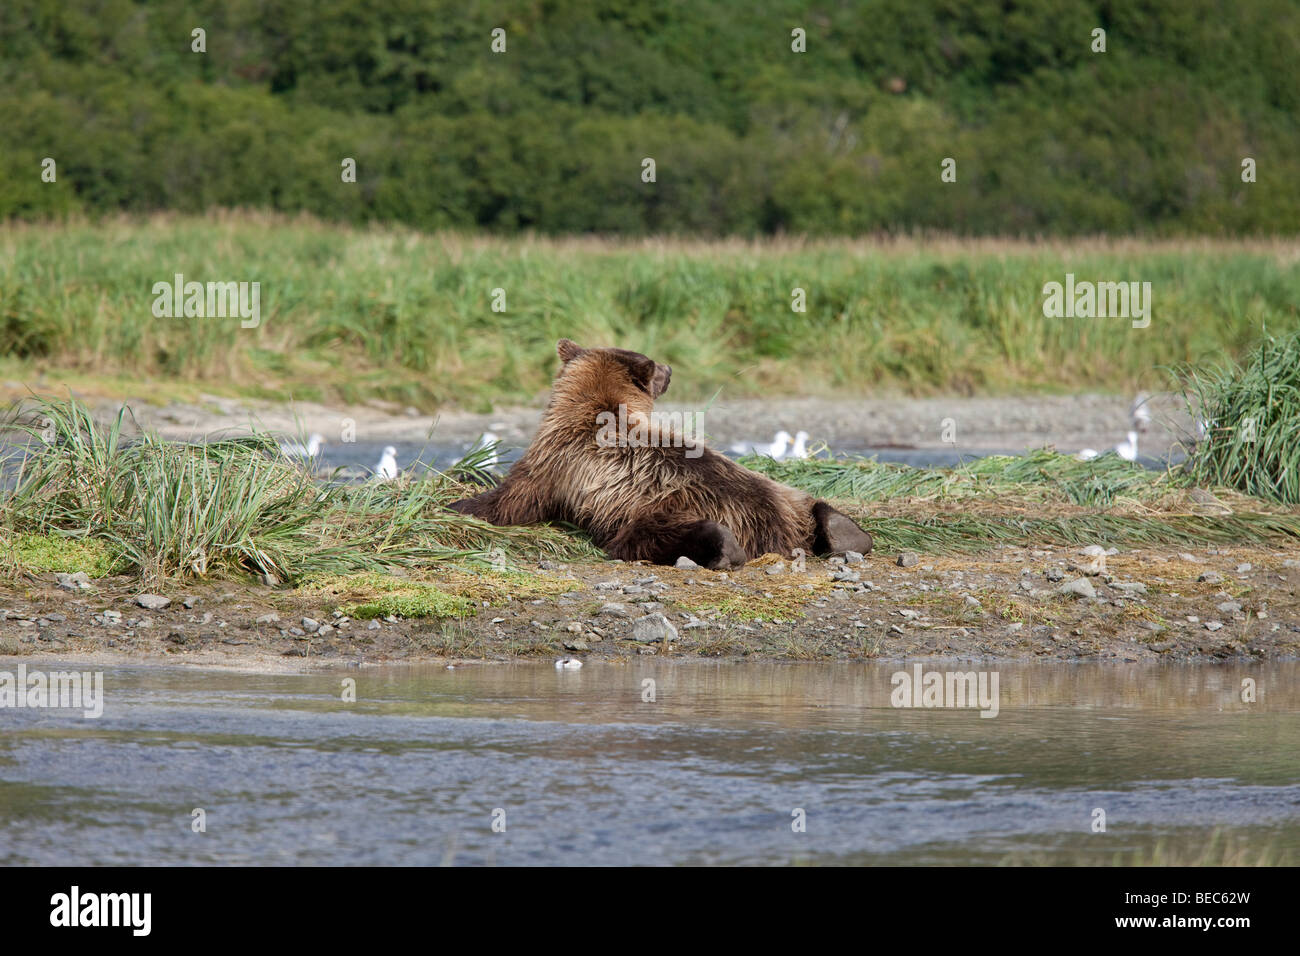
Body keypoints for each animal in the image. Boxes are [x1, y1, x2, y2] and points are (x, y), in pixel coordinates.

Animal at [448, 339, 873, 569]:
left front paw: (461, 498)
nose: (669, 367)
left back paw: (722, 545)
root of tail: (774, 527)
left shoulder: (555, 462)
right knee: (813, 504)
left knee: (639, 538)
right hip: (784, 493)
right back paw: (845, 532)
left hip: (651, 508)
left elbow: (510, 500)